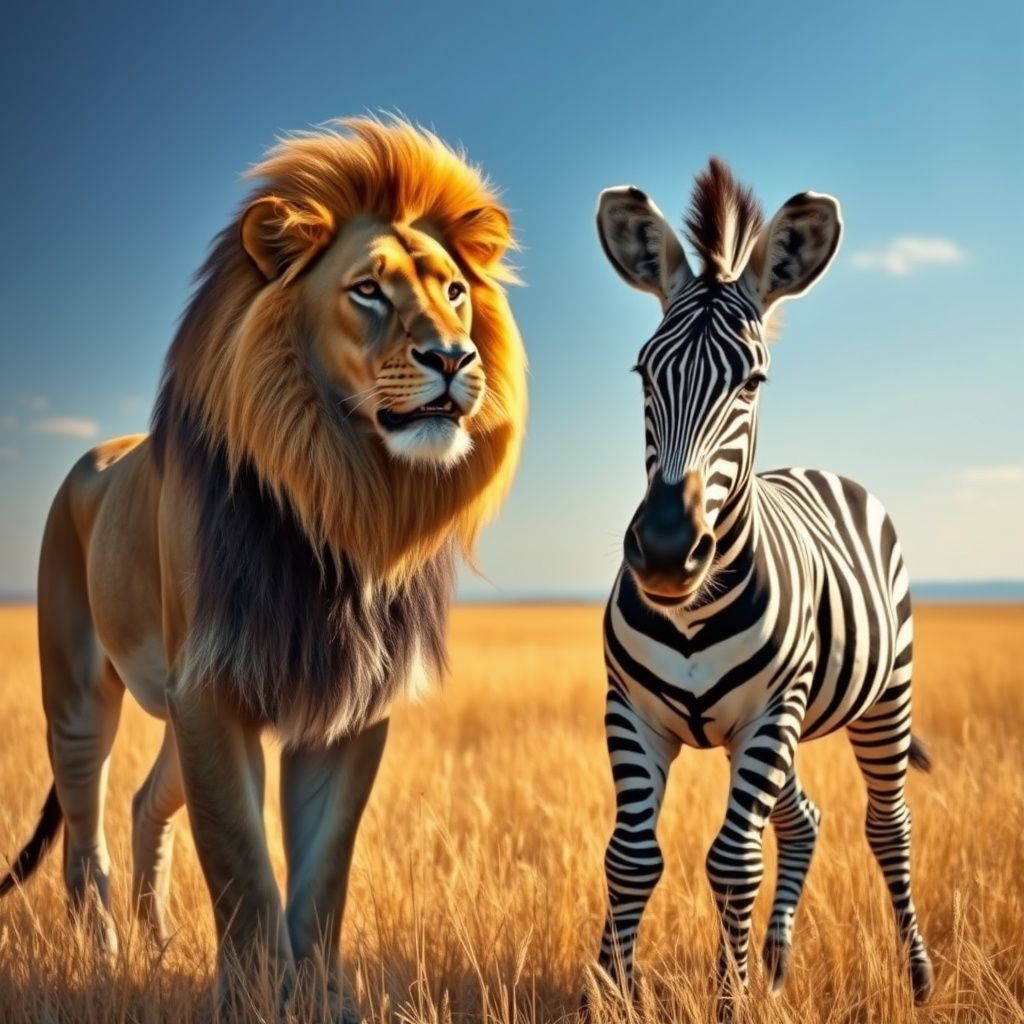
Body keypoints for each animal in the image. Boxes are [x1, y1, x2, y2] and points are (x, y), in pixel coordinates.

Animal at [0, 117, 526, 1019]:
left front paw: (317, 998)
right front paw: (247, 1000)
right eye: (368, 291)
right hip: (78, 694)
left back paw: (157, 947)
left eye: (456, 291)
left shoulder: (347, 706)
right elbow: (243, 871)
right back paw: (103, 959)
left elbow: (320, 878)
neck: (342, 497)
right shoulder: (212, 693)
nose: (454, 359)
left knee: (146, 802)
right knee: (83, 836)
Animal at [589, 159, 934, 1018]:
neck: (691, 613)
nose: (666, 552)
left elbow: (732, 861)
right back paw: (775, 964)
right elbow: (630, 858)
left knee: (889, 828)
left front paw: (729, 998)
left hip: (881, 697)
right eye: (643, 372)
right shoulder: (629, 711)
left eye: (751, 381)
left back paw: (917, 976)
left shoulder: (769, 712)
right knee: (805, 820)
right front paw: (610, 994)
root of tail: (814, 468)